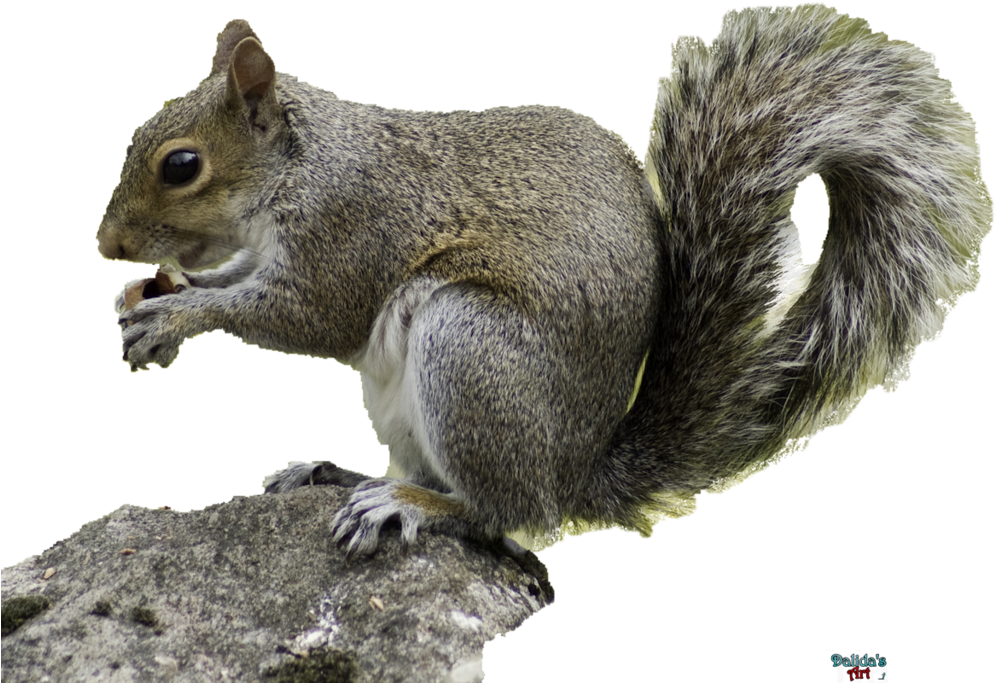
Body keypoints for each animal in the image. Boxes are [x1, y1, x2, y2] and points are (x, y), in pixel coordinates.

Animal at [96, 5, 990, 558]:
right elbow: (243, 274)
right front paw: (146, 294)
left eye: (181, 165)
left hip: (471, 351)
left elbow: (308, 314)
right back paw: (342, 474)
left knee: (508, 515)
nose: (108, 244)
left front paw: (178, 314)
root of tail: (574, 472)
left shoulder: (352, 226)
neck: (299, 164)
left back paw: (410, 505)